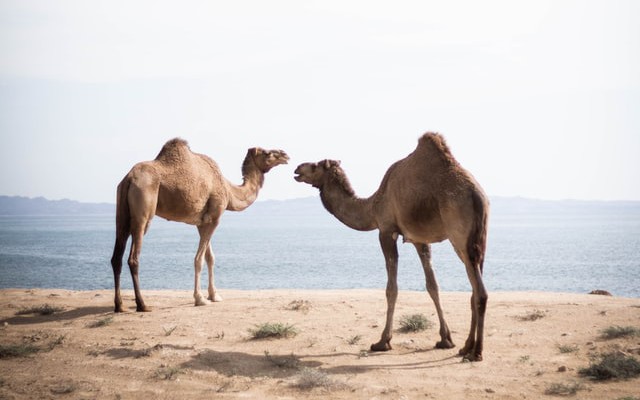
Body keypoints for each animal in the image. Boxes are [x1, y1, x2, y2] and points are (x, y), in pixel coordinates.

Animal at [110, 138, 289, 312]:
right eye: (267, 152)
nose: (285, 155)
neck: (228, 189)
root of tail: (129, 179)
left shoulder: (202, 222)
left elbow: (210, 257)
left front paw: (214, 295)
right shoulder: (215, 217)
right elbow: (199, 259)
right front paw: (200, 299)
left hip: (122, 213)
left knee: (116, 257)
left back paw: (119, 306)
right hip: (143, 212)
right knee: (133, 258)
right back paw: (142, 305)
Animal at [294, 132, 489, 361]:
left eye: (315, 165)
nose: (297, 168)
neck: (372, 206)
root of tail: (477, 197)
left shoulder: (386, 230)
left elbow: (391, 288)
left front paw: (382, 341)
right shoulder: (419, 239)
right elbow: (432, 285)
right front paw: (446, 339)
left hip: (459, 237)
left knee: (480, 292)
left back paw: (476, 352)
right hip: (479, 240)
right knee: (475, 288)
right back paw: (466, 347)